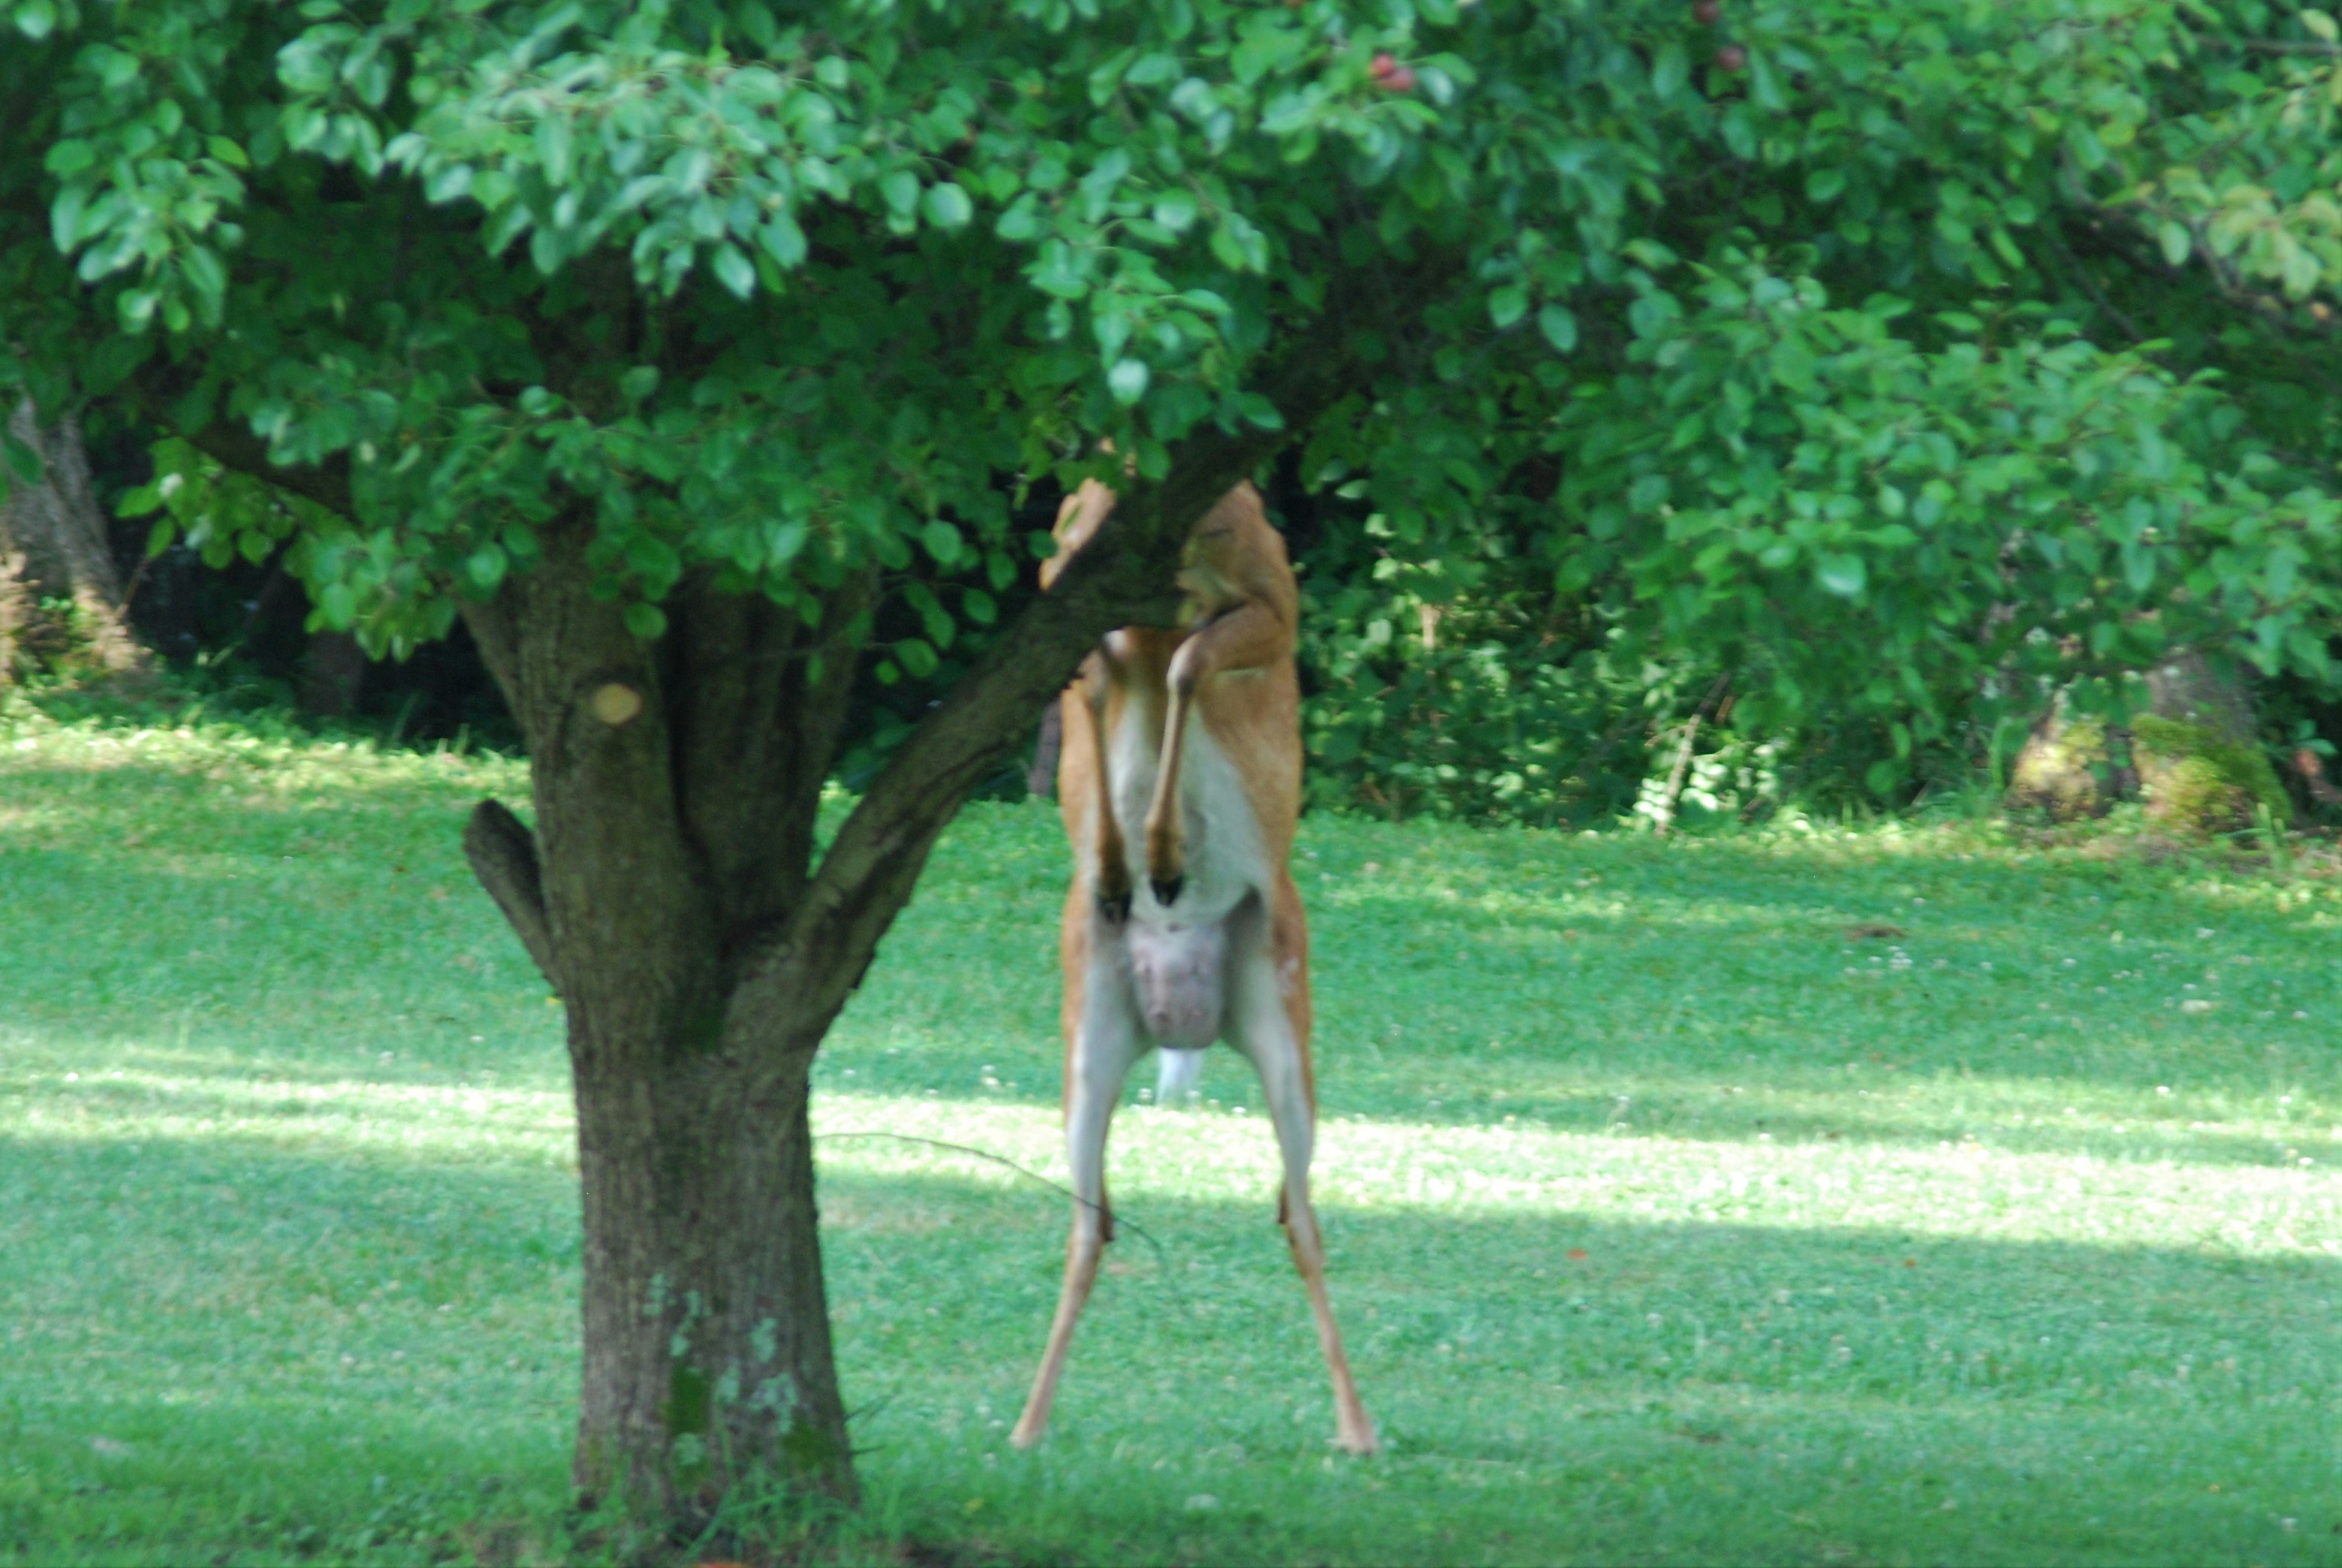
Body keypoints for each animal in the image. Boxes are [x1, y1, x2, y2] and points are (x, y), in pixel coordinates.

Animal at [1009, 476, 1377, 1456]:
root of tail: (1188, 1023)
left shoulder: (1275, 602)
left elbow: (1180, 665)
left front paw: (1163, 855)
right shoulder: (1061, 589)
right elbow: (1101, 677)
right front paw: (1117, 864)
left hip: (1282, 1013)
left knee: (1298, 1215)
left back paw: (1357, 1428)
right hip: (1089, 1030)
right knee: (1091, 1223)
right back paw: (1026, 1424)